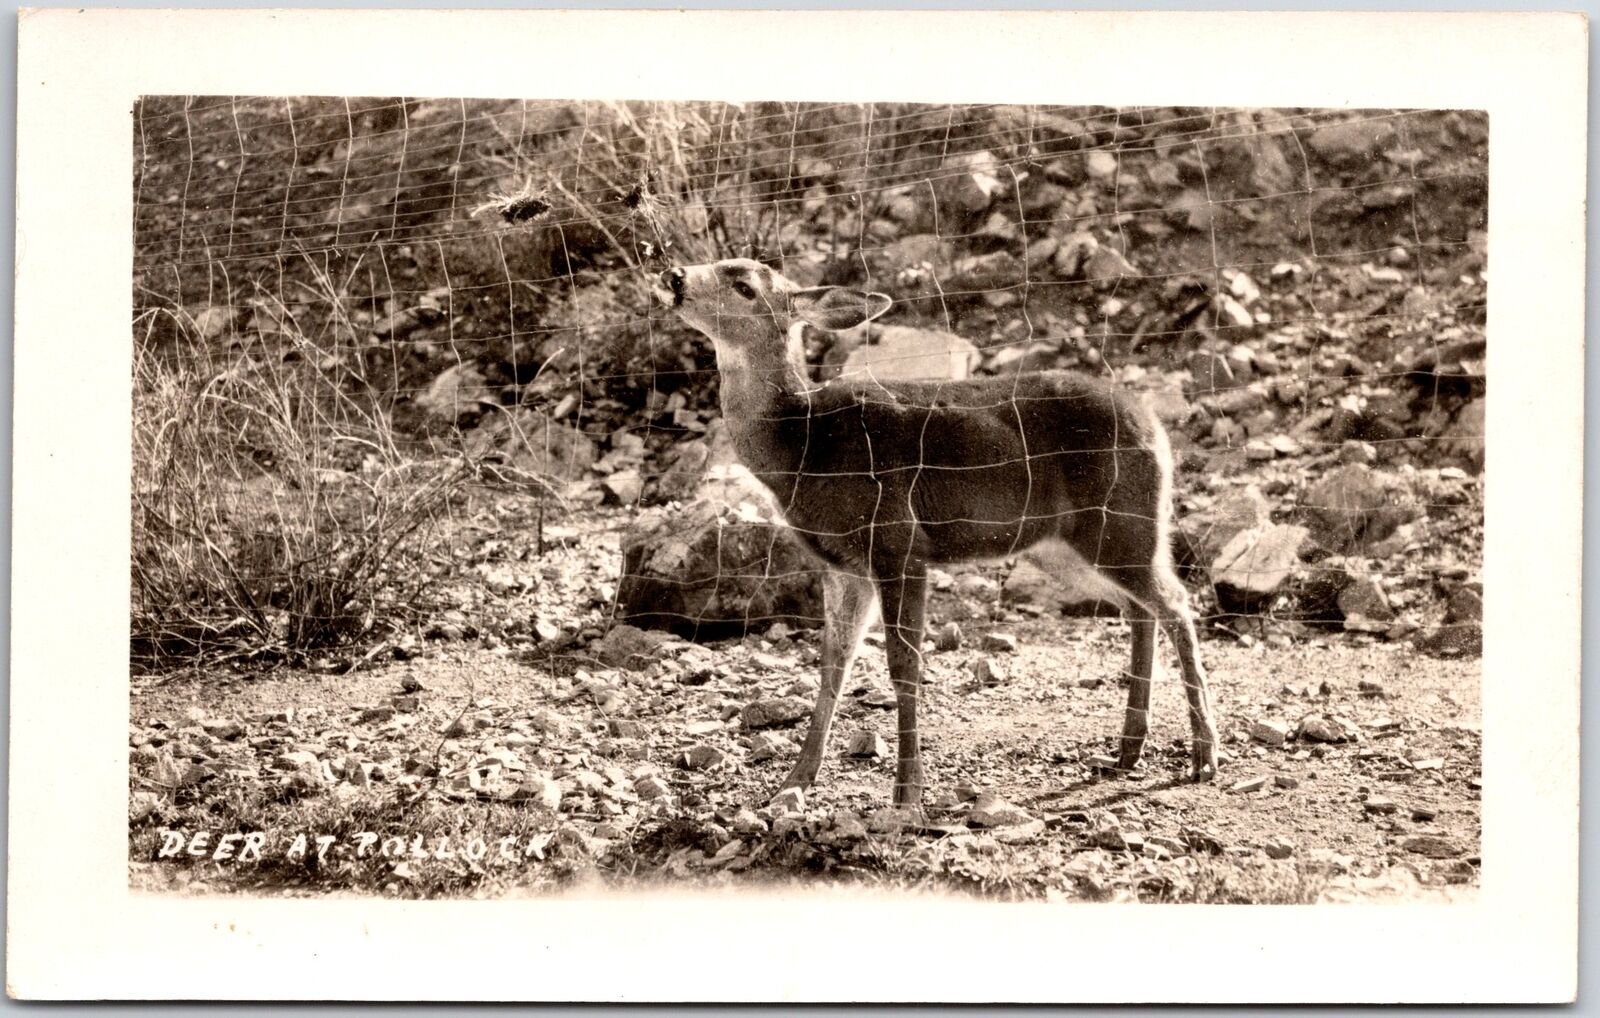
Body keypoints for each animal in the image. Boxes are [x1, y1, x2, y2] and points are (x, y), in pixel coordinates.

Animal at [654, 258, 1220, 814]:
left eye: (744, 285)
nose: (674, 274)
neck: (804, 444)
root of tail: (1156, 428)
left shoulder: (898, 542)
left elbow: (903, 664)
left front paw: (908, 794)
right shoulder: (841, 566)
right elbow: (833, 664)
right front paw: (793, 783)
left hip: (1121, 521)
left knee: (1176, 603)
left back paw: (1203, 755)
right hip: (1062, 547)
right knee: (1142, 609)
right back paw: (1127, 750)